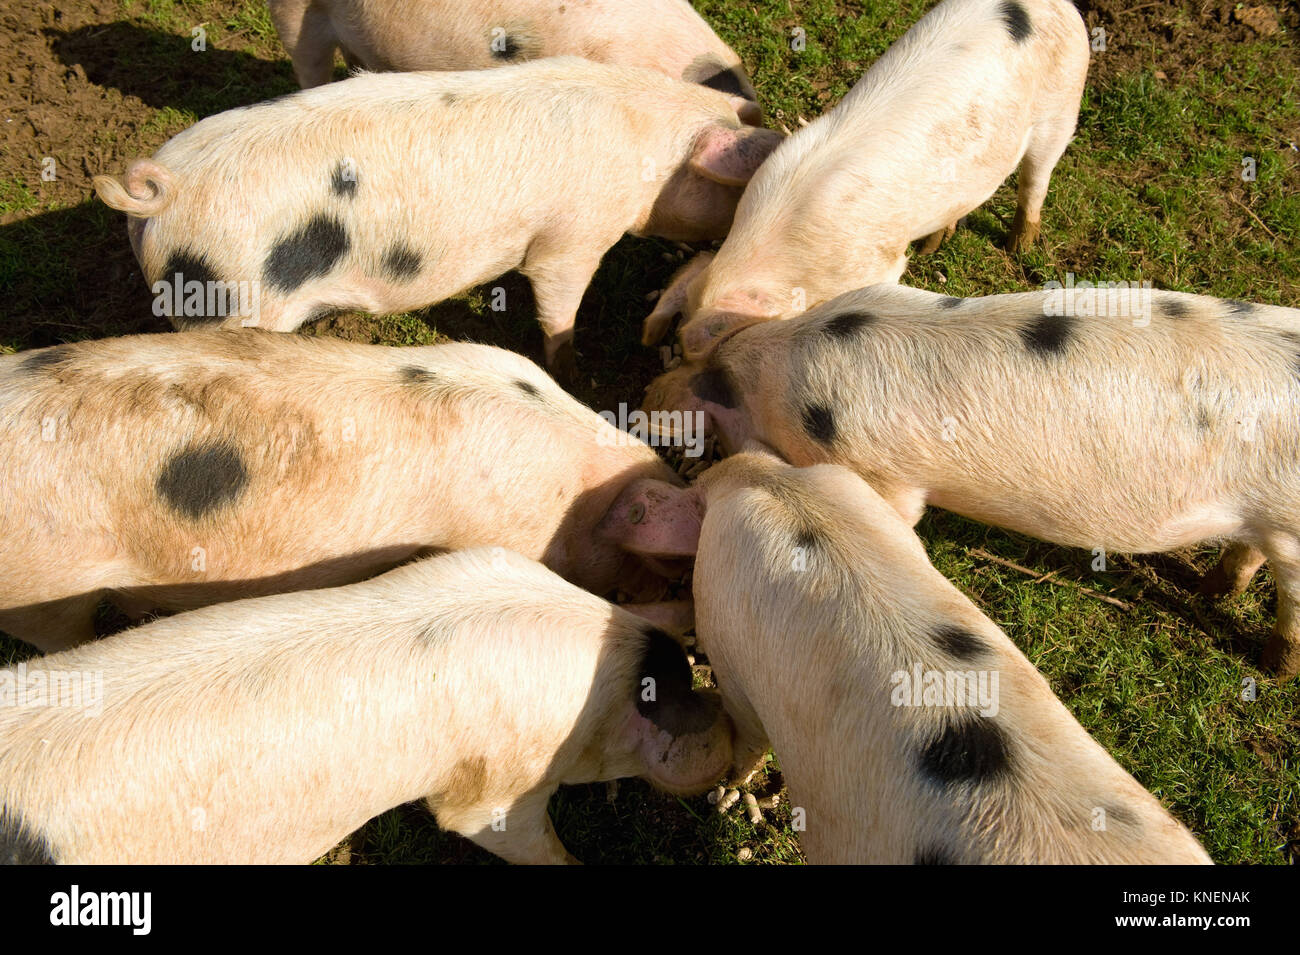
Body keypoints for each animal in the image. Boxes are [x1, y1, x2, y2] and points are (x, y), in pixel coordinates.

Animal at [92, 59, 784, 385]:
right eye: (738, 187)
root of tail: (162, 192)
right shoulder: (573, 237)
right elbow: (558, 302)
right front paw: (570, 369)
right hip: (231, 296)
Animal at [640, 282, 1300, 680]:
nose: (647, 396)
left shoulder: (882, 474)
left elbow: (899, 515)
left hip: (1289, 522)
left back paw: (1273, 667)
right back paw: (1214, 593)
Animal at [641, 0, 1089, 357]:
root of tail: (1060, 6)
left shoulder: (879, 264)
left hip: (1061, 111)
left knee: (1036, 179)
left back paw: (1018, 246)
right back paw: (932, 246)